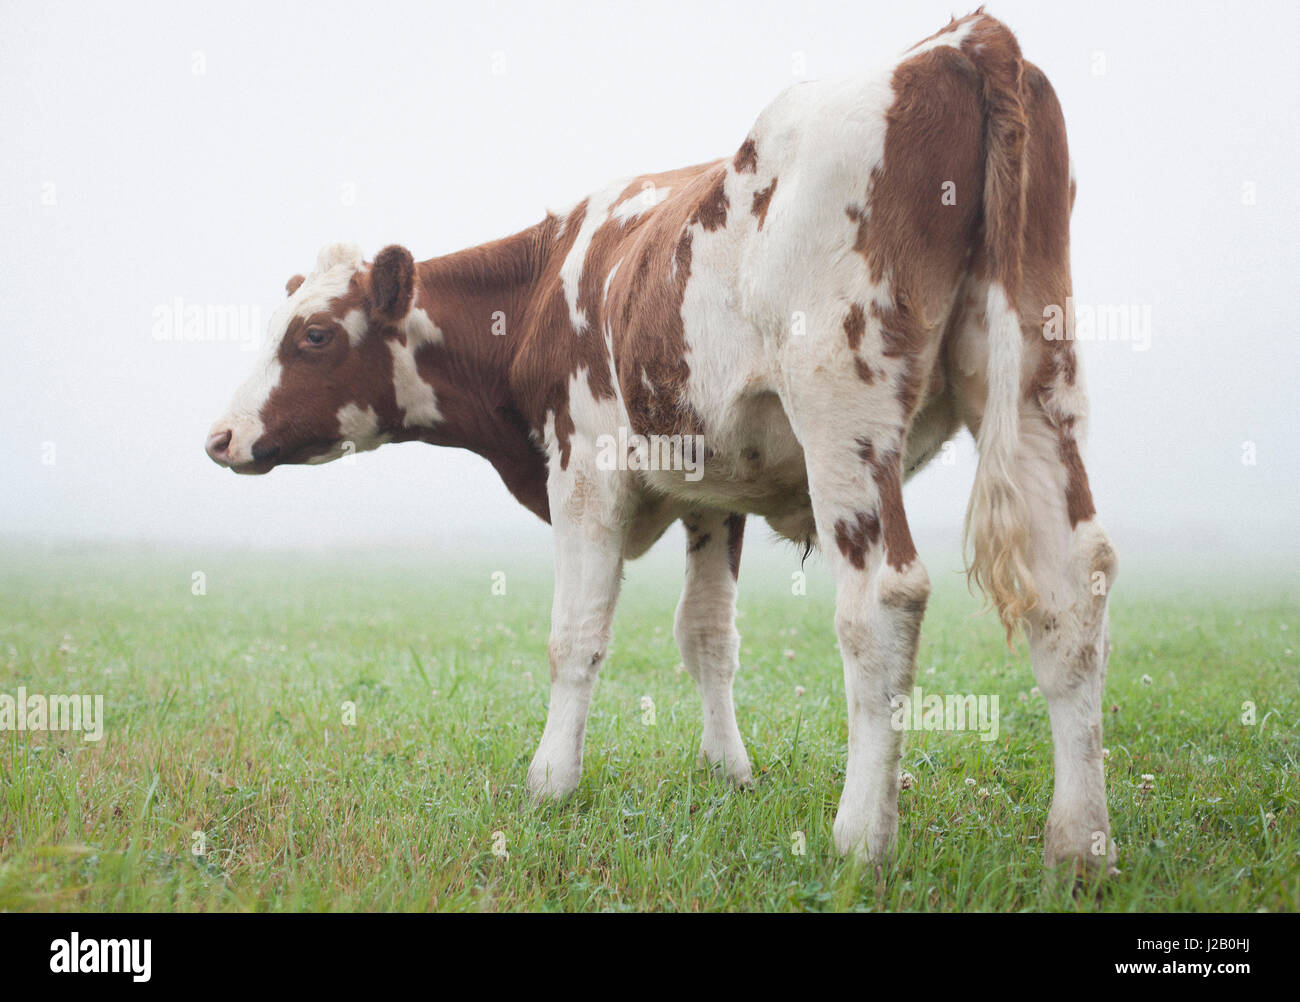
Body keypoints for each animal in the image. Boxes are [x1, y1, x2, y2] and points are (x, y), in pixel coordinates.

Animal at [206, 9, 1117, 876]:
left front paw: (550, 782)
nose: (221, 435)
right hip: (1039, 381)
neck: (542, 286)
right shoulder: (715, 490)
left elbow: (574, 634)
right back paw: (1081, 845)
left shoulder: (582, 468)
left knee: (883, 601)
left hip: (844, 406)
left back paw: (862, 839)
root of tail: (963, 39)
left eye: (315, 335)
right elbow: (708, 633)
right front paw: (728, 770)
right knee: (1073, 589)